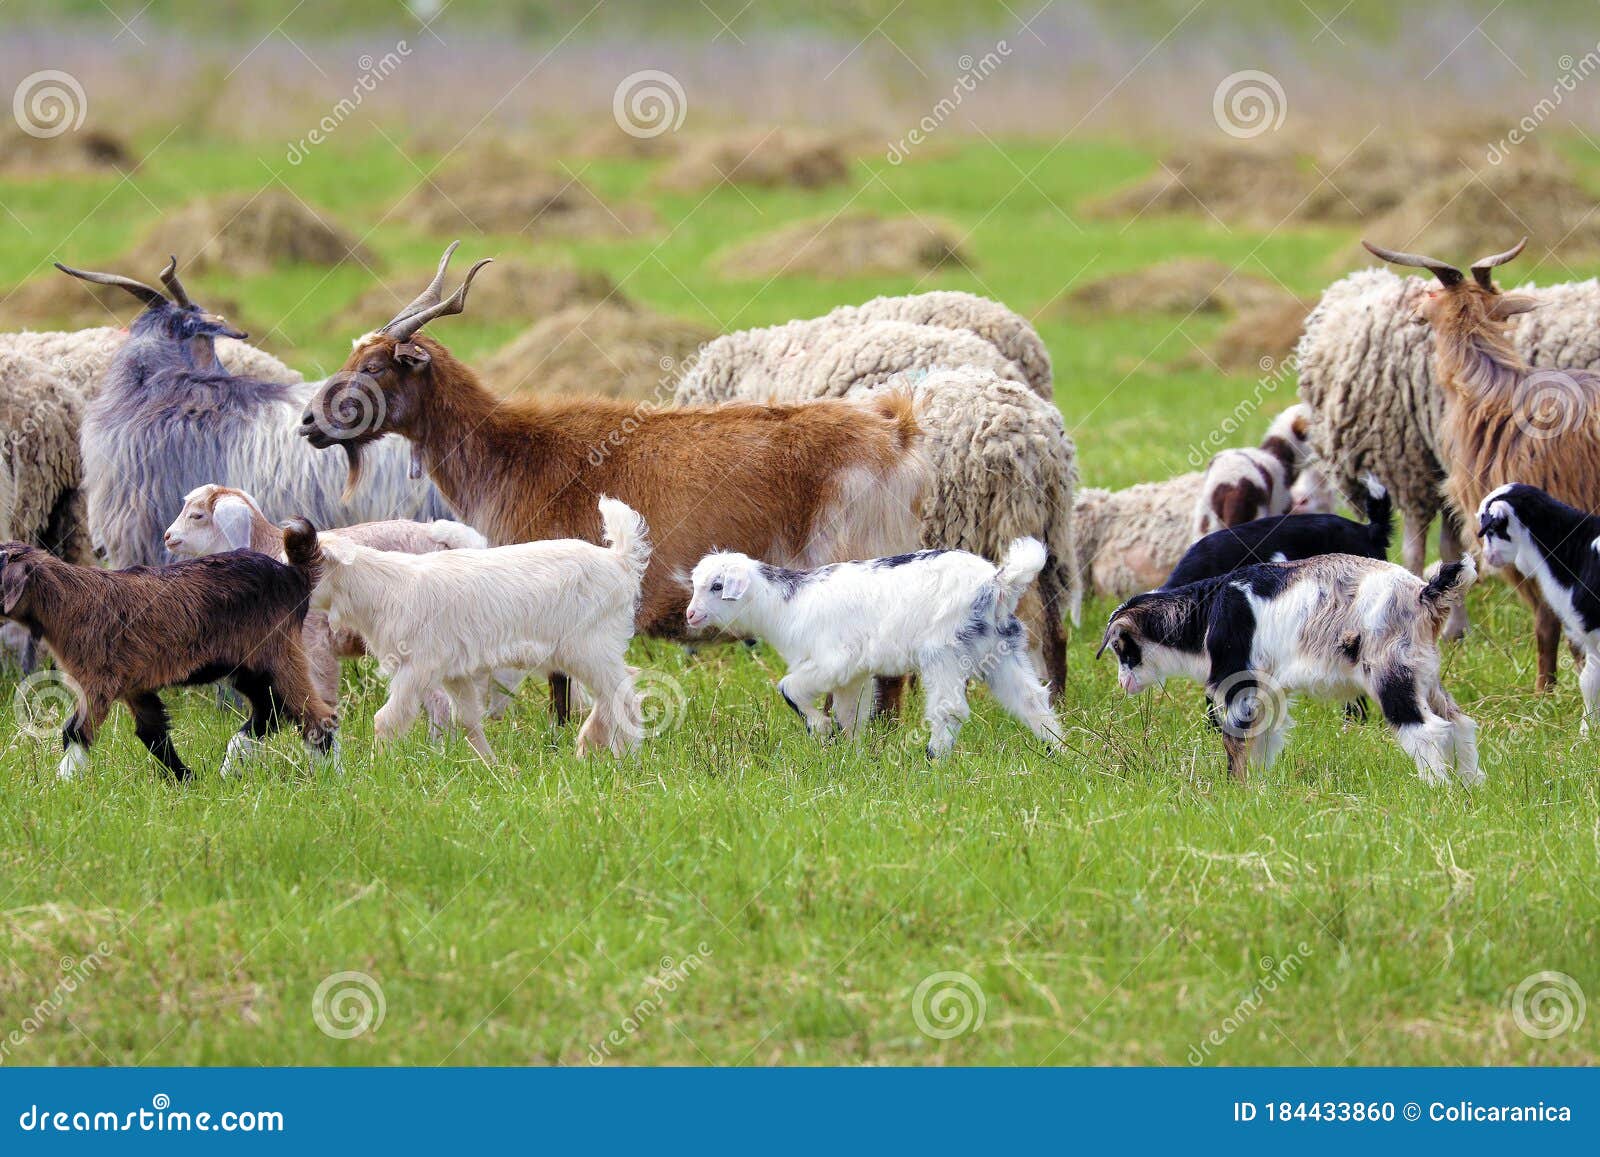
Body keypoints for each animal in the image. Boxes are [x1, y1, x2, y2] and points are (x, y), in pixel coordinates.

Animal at [0, 526, 337, 781]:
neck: (71, 602)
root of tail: (293, 574)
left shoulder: (99, 678)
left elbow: (75, 730)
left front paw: (62, 785)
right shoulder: (135, 685)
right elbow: (153, 732)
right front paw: (186, 779)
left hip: (279, 652)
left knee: (317, 716)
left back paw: (331, 779)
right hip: (248, 667)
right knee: (271, 709)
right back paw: (230, 767)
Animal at [300, 498, 649, 762]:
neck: (387, 587)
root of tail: (619, 560)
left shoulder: (417, 666)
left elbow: (386, 719)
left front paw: (377, 767)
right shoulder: (455, 671)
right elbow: (467, 720)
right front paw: (490, 765)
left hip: (589, 646)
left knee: (623, 695)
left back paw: (624, 757)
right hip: (589, 650)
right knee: (618, 686)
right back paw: (588, 746)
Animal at [685, 541, 1061, 759]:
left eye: (717, 586)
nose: (690, 614)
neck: (784, 607)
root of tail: (996, 583)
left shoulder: (832, 661)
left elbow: (788, 687)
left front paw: (818, 727)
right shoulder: (852, 674)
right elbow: (849, 714)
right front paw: (851, 756)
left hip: (944, 651)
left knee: (949, 709)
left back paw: (933, 760)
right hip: (1000, 649)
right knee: (1031, 699)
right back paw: (1059, 751)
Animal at [1098, 554, 1479, 786]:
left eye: (1120, 647)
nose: (1122, 682)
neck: (1207, 614)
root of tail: (1423, 593)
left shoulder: (1238, 684)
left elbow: (1235, 742)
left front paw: (1233, 789)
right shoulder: (1267, 692)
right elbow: (1265, 739)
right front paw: (1260, 787)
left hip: (1392, 673)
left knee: (1427, 729)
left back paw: (1435, 788)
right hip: (1425, 675)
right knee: (1460, 723)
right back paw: (1470, 785)